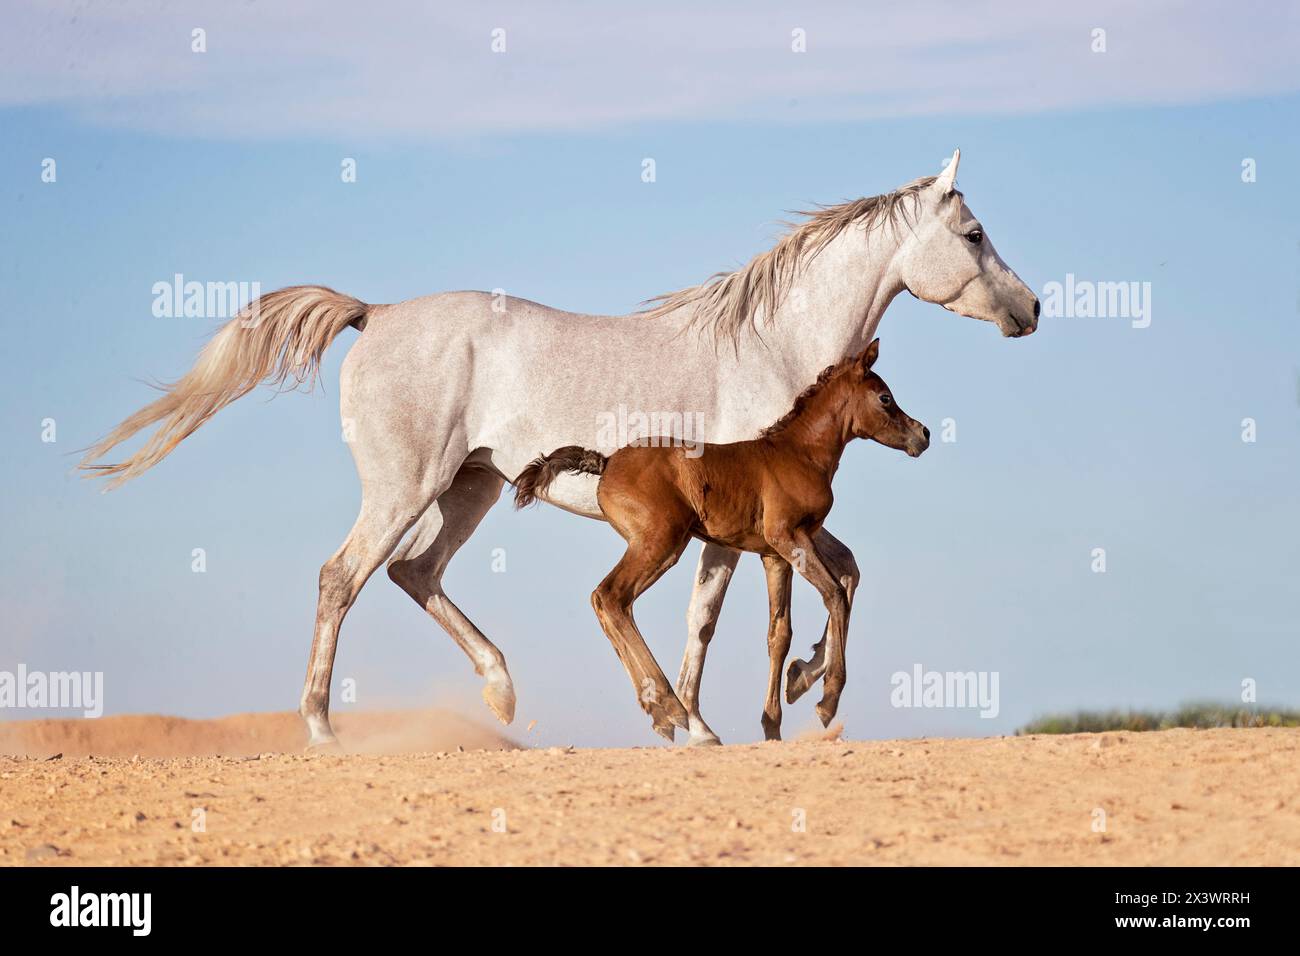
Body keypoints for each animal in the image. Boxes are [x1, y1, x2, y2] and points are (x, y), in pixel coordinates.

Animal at [513, 338, 927, 740]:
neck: (799, 453)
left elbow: (780, 632)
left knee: (611, 603)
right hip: (661, 544)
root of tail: (607, 461)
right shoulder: (790, 537)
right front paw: (827, 701)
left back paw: (661, 711)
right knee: (610, 597)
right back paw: (670, 707)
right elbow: (835, 594)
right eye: (885, 397)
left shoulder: (775, 554)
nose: (922, 434)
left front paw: (773, 723)